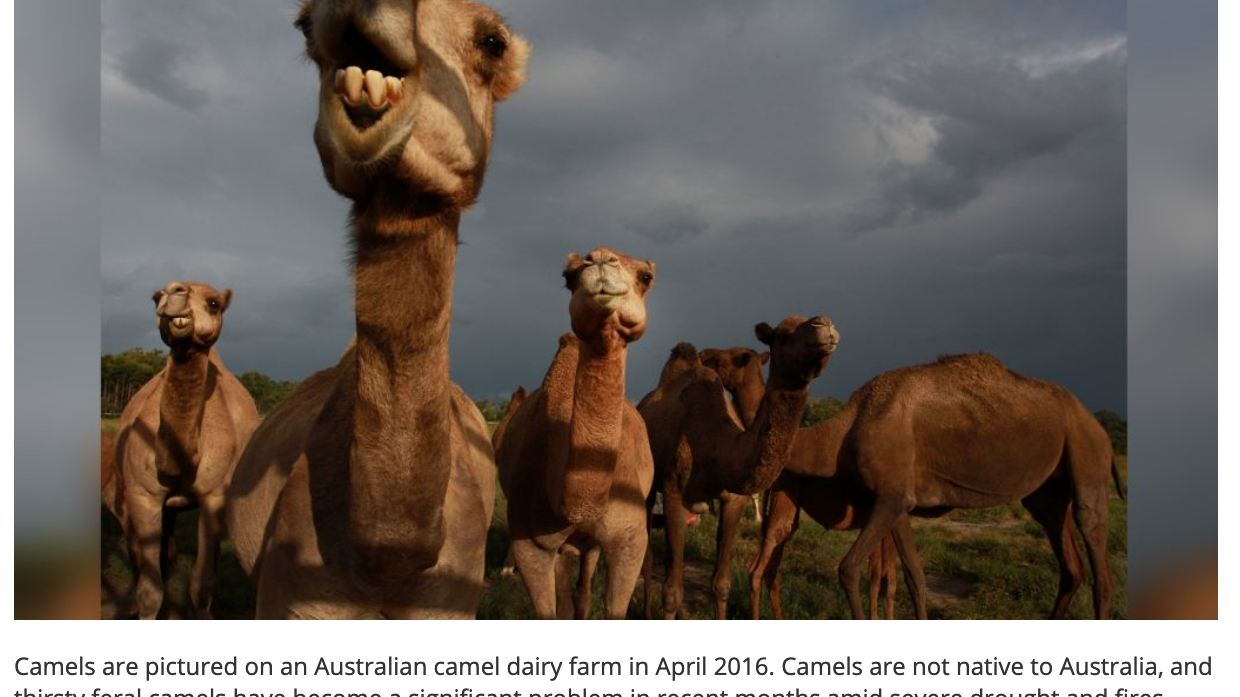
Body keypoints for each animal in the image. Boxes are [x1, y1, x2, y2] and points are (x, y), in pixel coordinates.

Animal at [113, 281, 259, 619]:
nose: (173, 292)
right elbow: (150, 590)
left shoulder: (214, 496)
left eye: (214, 303)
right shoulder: (143, 494)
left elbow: (202, 586)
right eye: (155, 296)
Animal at [495, 247, 656, 620]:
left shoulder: (630, 538)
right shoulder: (532, 543)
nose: (601, 260)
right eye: (568, 277)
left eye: (646, 277)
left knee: (582, 590)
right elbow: (550, 610)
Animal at [638, 316, 840, 619]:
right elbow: (672, 592)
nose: (824, 325)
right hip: (648, 483)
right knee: (647, 554)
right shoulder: (674, 494)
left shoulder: (734, 500)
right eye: (782, 335)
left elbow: (722, 583)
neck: (716, 445)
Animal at [776, 353, 1121, 620]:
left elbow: (848, 568)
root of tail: (1097, 424)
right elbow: (914, 576)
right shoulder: (895, 497)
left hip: (1086, 449)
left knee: (1094, 540)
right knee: (1067, 557)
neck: (844, 430)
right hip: (1048, 488)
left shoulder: (891, 494)